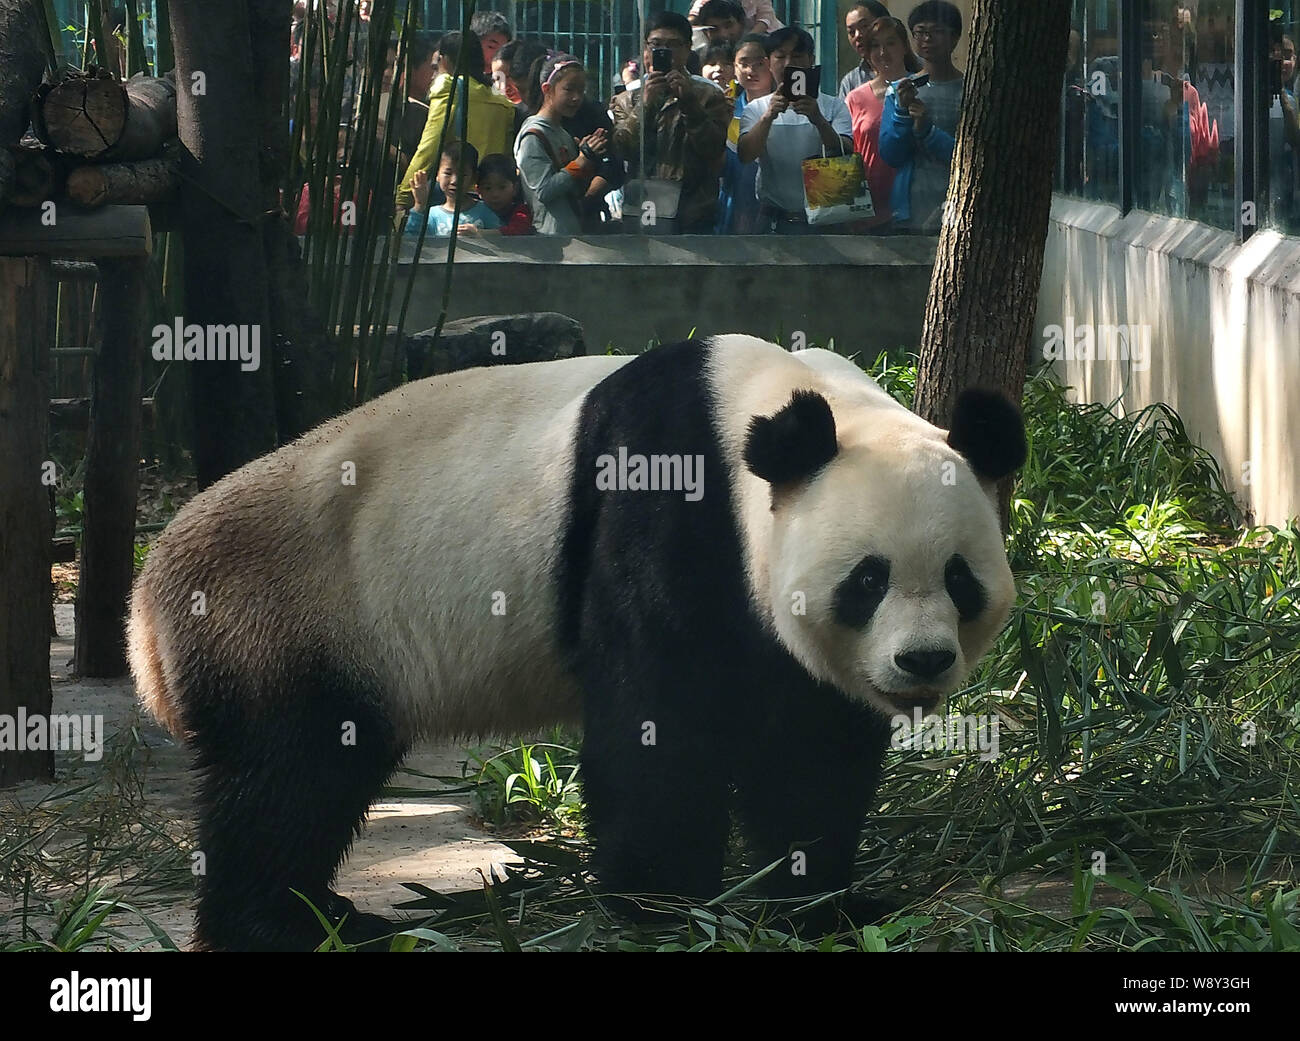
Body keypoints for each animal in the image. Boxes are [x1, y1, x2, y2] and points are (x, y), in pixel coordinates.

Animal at [128, 334, 1026, 950]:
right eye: (868, 579)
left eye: (960, 580)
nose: (921, 661)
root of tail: (145, 615)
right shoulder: (663, 505)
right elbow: (657, 724)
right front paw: (664, 903)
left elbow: (809, 746)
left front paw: (823, 899)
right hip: (287, 616)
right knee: (286, 780)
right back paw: (293, 924)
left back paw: (328, 912)